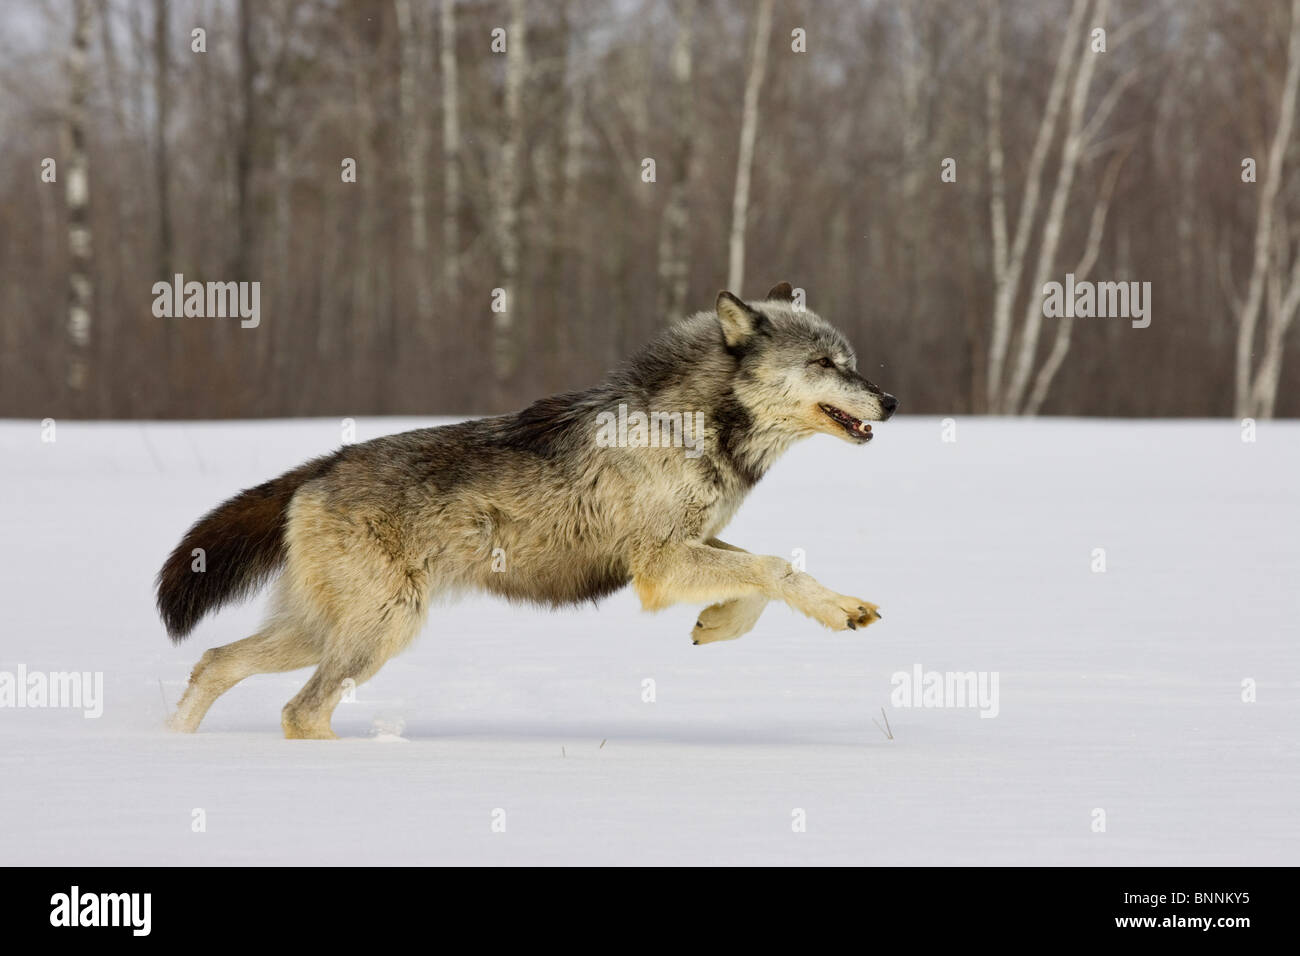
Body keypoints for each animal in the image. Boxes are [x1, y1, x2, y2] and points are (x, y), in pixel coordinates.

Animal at [157, 283, 898, 738]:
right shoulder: (658, 565)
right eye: (826, 363)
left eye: (852, 361)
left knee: (215, 661)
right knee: (299, 711)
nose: (891, 400)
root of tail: (317, 468)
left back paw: (176, 748)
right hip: (378, 631)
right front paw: (835, 611)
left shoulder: (687, 547)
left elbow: (760, 576)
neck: (686, 423)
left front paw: (718, 625)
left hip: (324, 632)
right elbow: (776, 567)